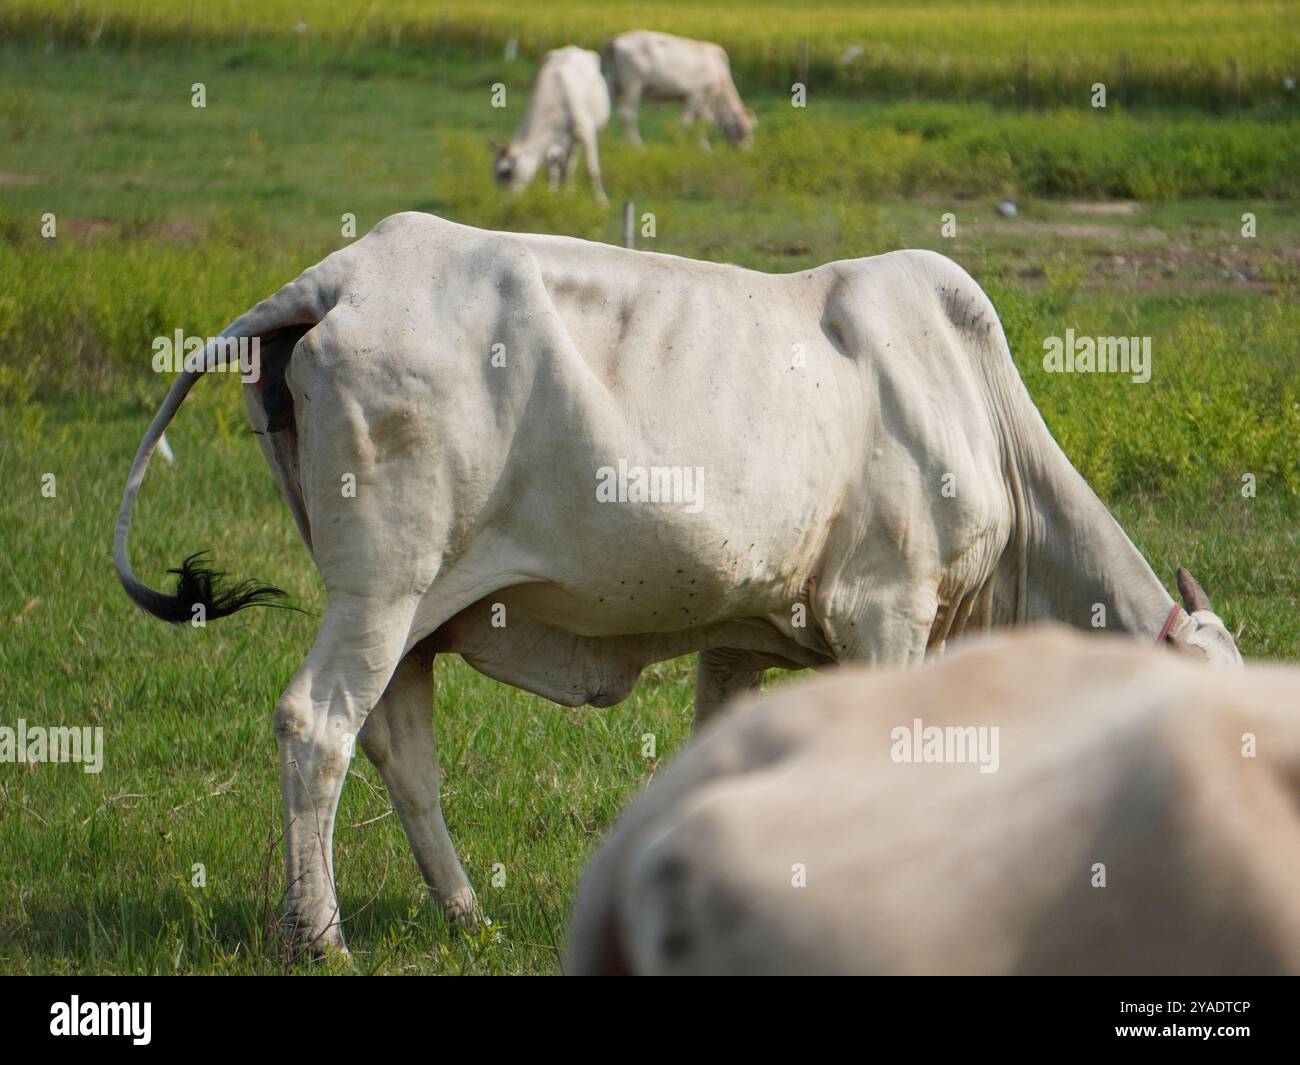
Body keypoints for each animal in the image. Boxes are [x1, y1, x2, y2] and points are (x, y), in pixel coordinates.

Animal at [113, 212, 1239, 954]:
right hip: (381, 587)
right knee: (316, 725)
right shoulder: (886, 609)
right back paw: (323, 936)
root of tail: (339, 275)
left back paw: (468, 914)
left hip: (416, 613)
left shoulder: (743, 634)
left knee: (399, 747)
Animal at [493, 45, 610, 204]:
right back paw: (568, 191)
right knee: (567, 165)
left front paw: (602, 202)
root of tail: (573, 48)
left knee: (571, 163)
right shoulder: (550, 144)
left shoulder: (587, 131)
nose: (501, 202)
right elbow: (552, 171)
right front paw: (552, 195)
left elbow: (592, 170)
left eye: (505, 172)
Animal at [605, 30, 755, 149]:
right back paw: (636, 144)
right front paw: (688, 144)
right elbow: (693, 121)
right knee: (627, 113)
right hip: (633, 87)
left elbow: (698, 120)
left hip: (611, 84)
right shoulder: (697, 95)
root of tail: (618, 37)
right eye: (744, 130)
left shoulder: (696, 100)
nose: (748, 150)